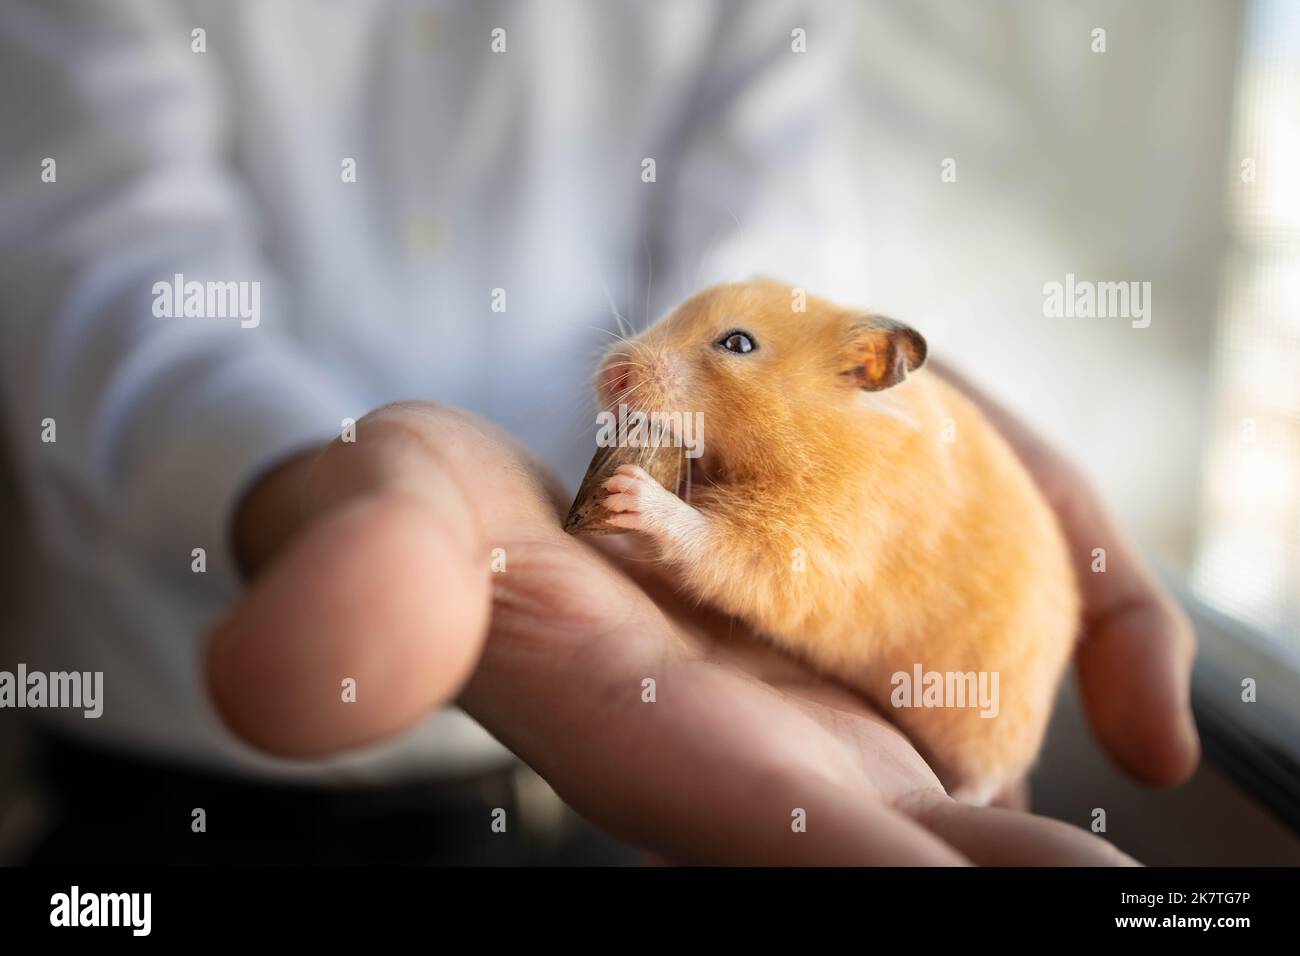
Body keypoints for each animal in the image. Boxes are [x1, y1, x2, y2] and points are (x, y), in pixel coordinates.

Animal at [589, 280, 1079, 804]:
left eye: (738, 343)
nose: (610, 372)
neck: (823, 430)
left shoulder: (810, 545)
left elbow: (717, 542)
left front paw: (630, 492)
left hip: (994, 717)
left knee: (988, 777)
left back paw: (959, 797)